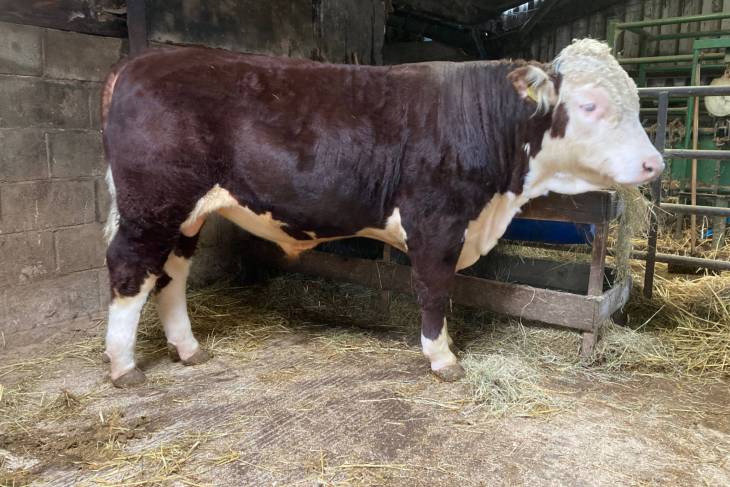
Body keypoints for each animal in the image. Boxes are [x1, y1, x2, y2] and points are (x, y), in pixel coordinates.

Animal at [100, 38, 663, 387]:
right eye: (589, 105)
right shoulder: (437, 221)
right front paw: (442, 358)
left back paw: (188, 349)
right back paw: (124, 366)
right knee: (131, 270)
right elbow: (434, 289)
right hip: (152, 202)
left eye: (637, 101)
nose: (654, 163)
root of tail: (139, 61)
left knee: (170, 275)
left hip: (184, 214)